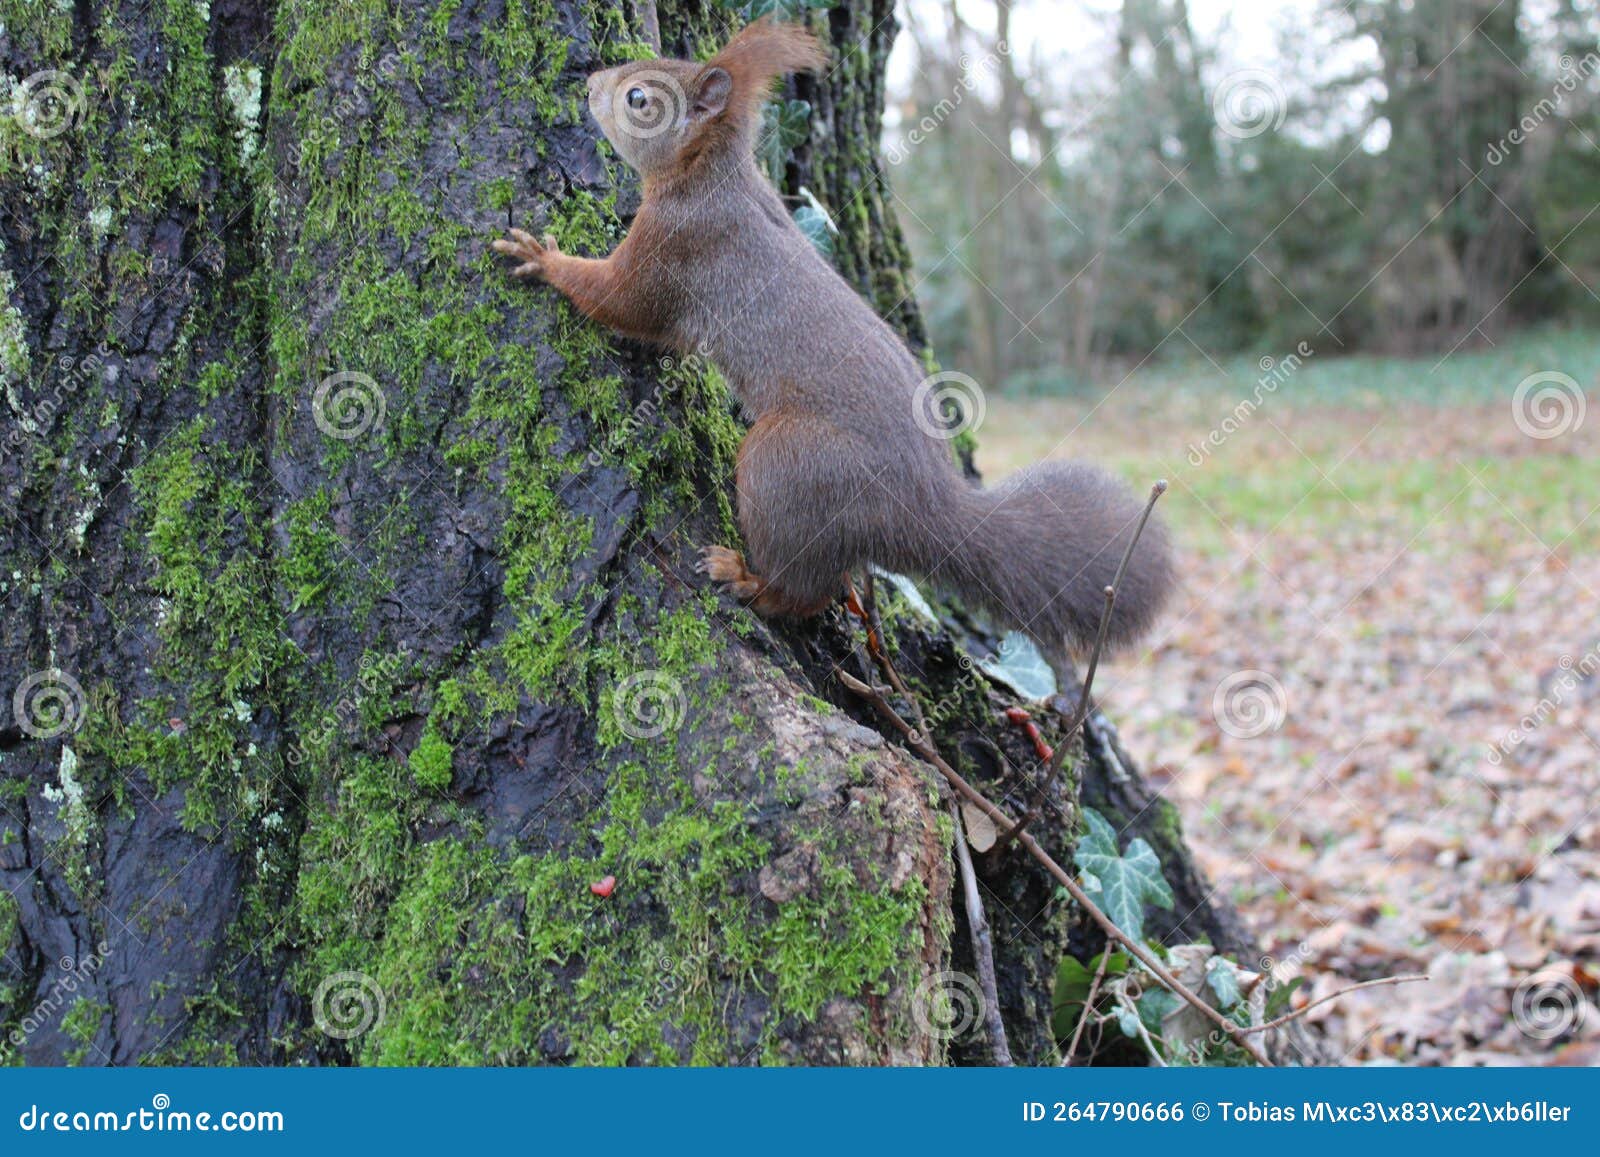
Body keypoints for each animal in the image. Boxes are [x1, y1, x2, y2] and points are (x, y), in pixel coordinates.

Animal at [494, 19, 1173, 664]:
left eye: (639, 98)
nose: (588, 84)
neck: (707, 175)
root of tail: (924, 509)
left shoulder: (677, 244)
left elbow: (620, 301)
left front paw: (542, 258)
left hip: (789, 465)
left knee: (802, 591)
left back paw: (745, 579)